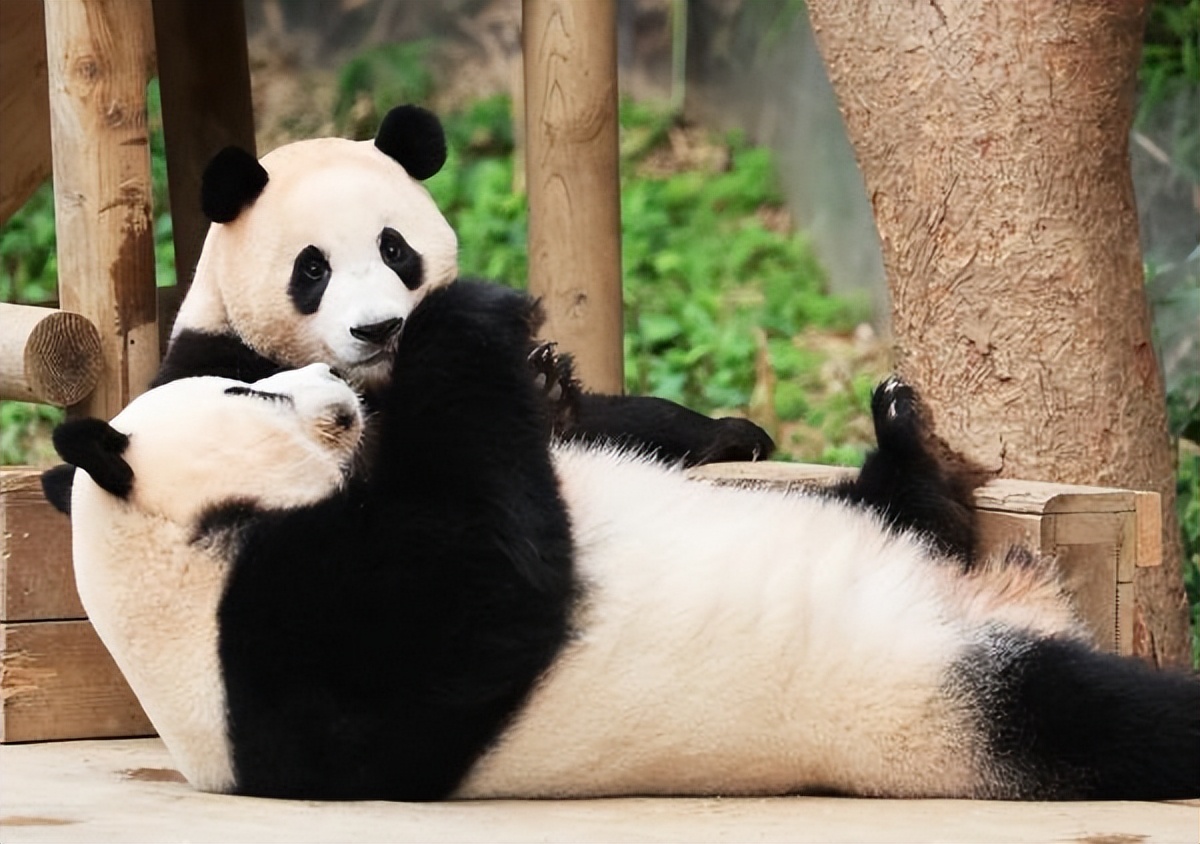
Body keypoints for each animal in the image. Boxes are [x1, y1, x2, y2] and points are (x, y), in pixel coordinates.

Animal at [45, 280, 1198, 802]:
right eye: (249, 390)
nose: (335, 382)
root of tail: (995, 612)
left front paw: (545, 380)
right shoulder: (284, 636)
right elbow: (485, 590)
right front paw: (466, 313)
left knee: (898, 507)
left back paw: (903, 434)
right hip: (920, 683)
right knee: (1105, 720)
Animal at [156, 103, 773, 467]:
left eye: (394, 249)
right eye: (312, 270)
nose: (379, 329)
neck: (378, 379)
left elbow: (621, 422)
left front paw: (732, 435)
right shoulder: (217, 366)